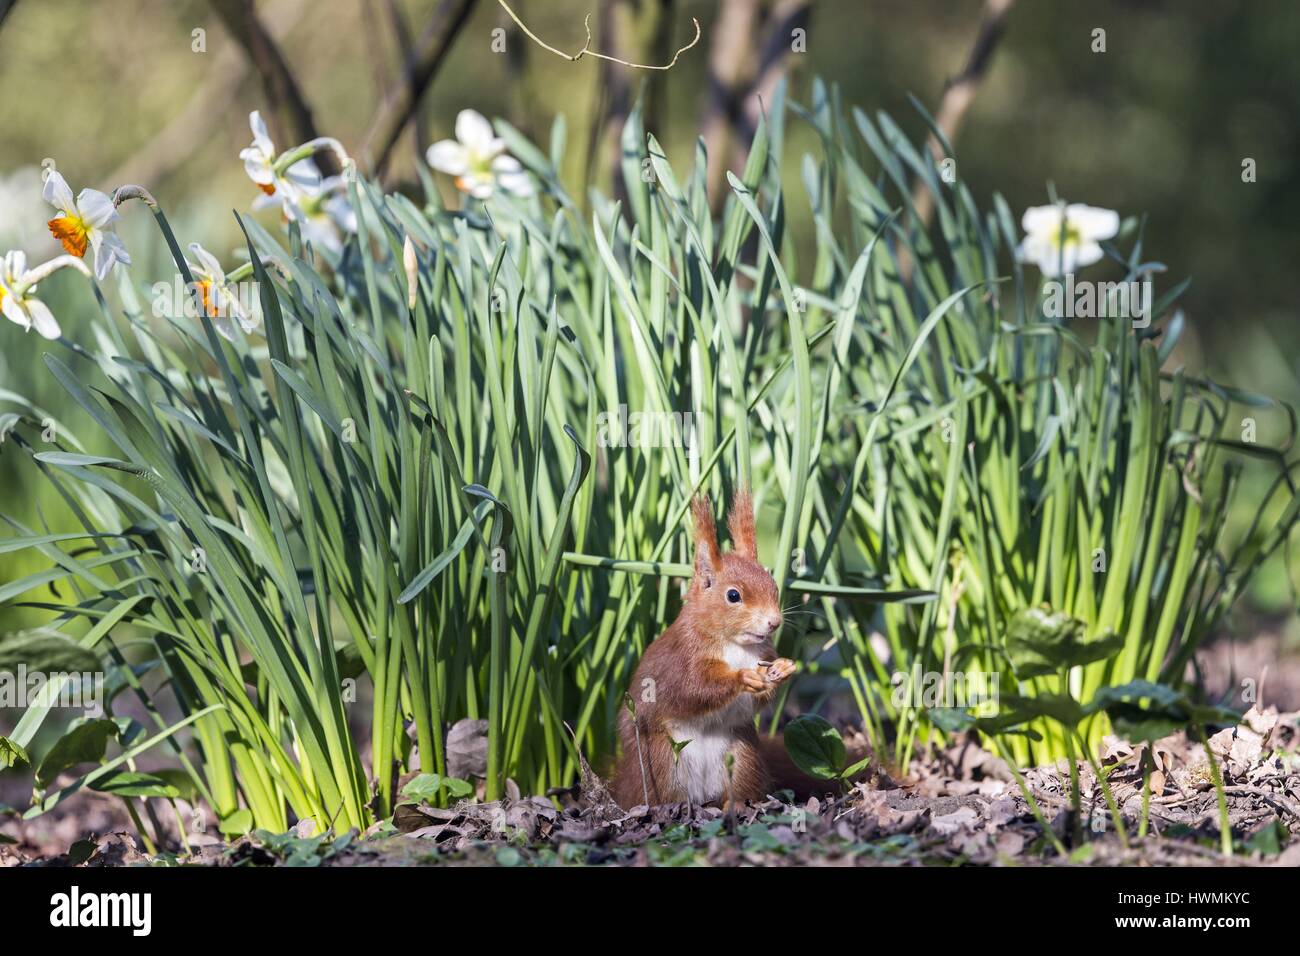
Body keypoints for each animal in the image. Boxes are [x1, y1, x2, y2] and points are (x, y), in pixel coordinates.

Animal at [611, 487, 833, 810]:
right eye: (733, 596)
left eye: (774, 585)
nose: (774, 622)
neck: (735, 645)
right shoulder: (682, 659)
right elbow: (694, 688)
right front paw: (742, 677)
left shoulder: (762, 655)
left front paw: (783, 669)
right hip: (661, 760)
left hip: (742, 757)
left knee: (739, 789)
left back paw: (734, 805)